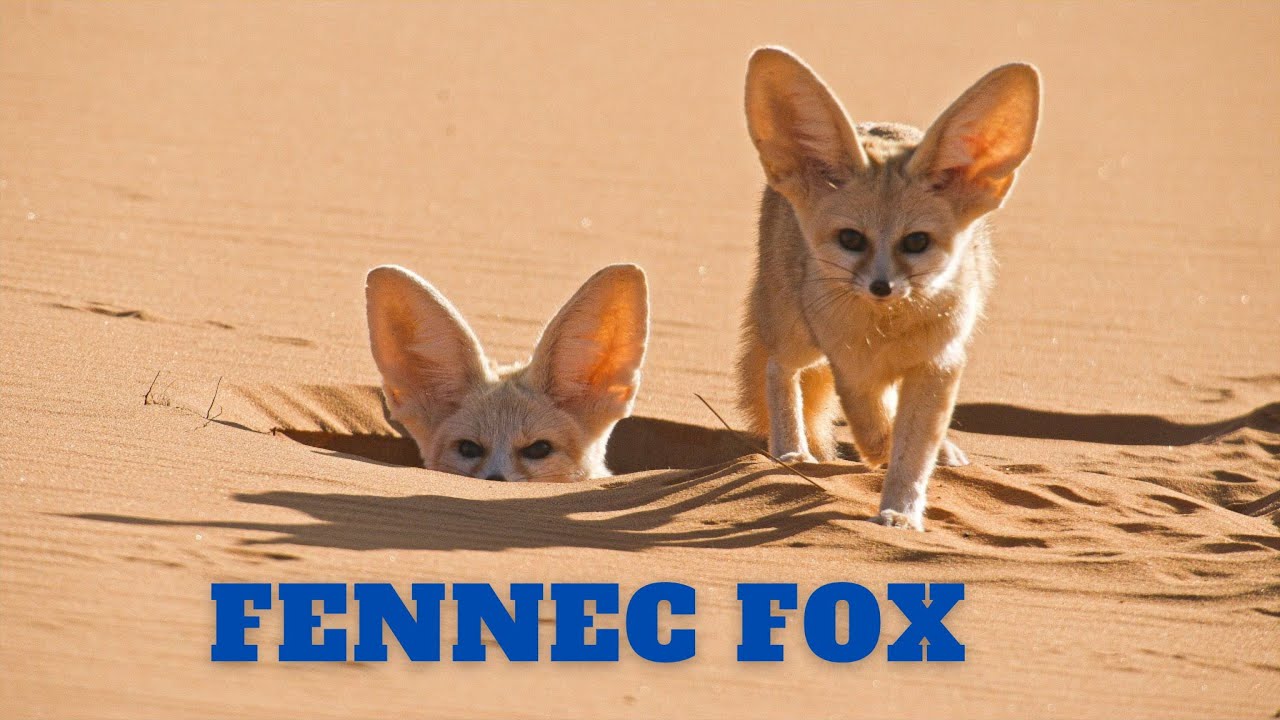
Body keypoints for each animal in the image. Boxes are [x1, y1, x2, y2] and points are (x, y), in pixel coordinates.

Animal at [736, 47, 1041, 530]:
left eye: (915, 242)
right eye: (851, 239)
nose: (882, 286)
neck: (888, 331)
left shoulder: (938, 364)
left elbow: (912, 447)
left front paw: (901, 511)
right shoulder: (851, 366)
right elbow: (876, 426)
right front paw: (879, 457)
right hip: (798, 336)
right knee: (777, 368)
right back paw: (792, 453)